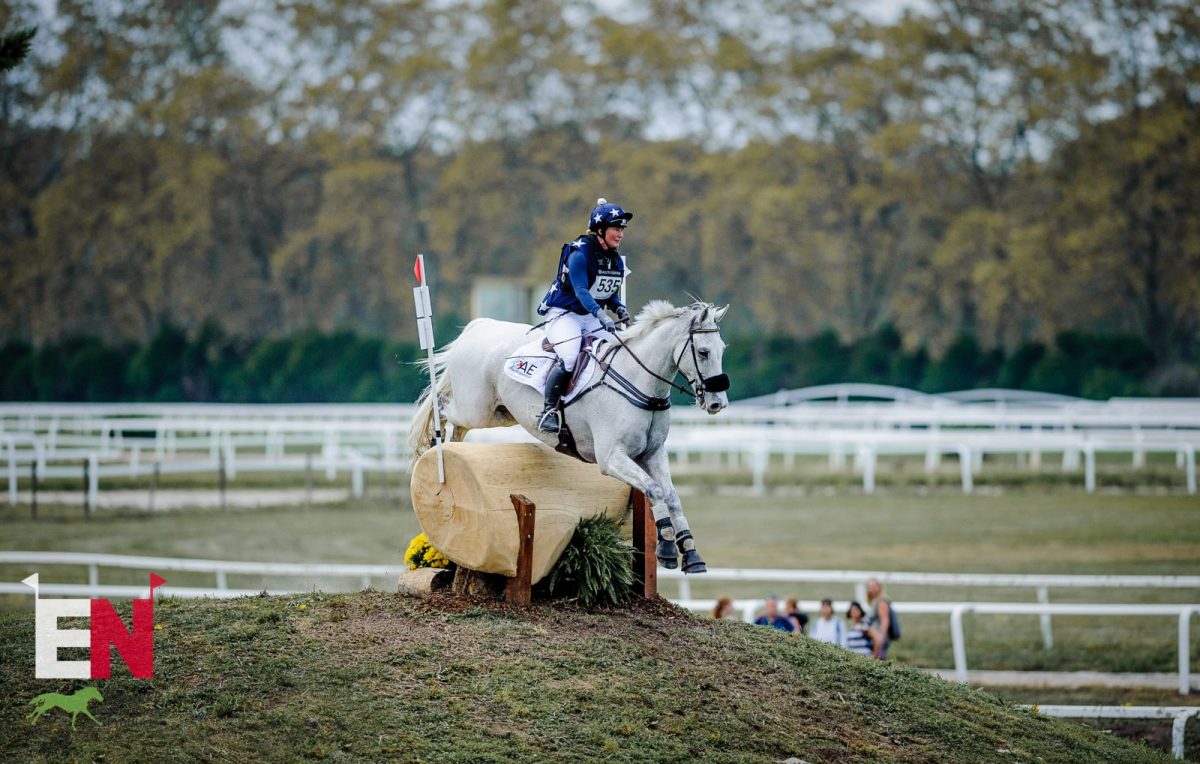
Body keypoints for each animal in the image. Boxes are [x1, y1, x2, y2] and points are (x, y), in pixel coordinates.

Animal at [407, 300, 730, 573]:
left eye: (722, 349)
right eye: (703, 352)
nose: (718, 404)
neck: (640, 383)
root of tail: (479, 326)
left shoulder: (652, 453)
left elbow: (671, 495)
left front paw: (691, 553)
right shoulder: (611, 458)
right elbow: (655, 490)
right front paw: (666, 547)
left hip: (499, 412)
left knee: (457, 424)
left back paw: (453, 451)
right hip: (475, 408)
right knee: (442, 407)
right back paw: (434, 449)